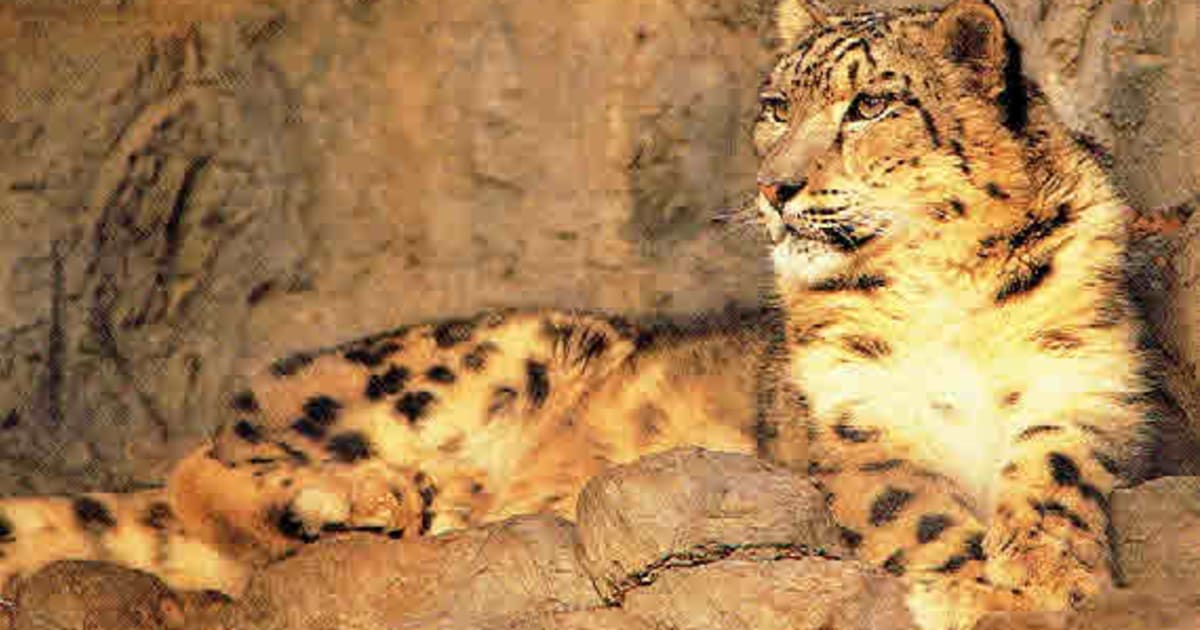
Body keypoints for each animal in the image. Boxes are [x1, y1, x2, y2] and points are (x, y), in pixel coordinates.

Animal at [0, 1, 1150, 629]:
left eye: (871, 105)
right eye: (777, 106)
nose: (775, 186)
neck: (943, 289)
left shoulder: (1083, 389)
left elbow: (1051, 478)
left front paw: (1051, 574)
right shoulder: (854, 425)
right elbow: (916, 506)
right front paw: (983, 590)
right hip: (466, 362)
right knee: (201, 465)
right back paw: (380, 493)